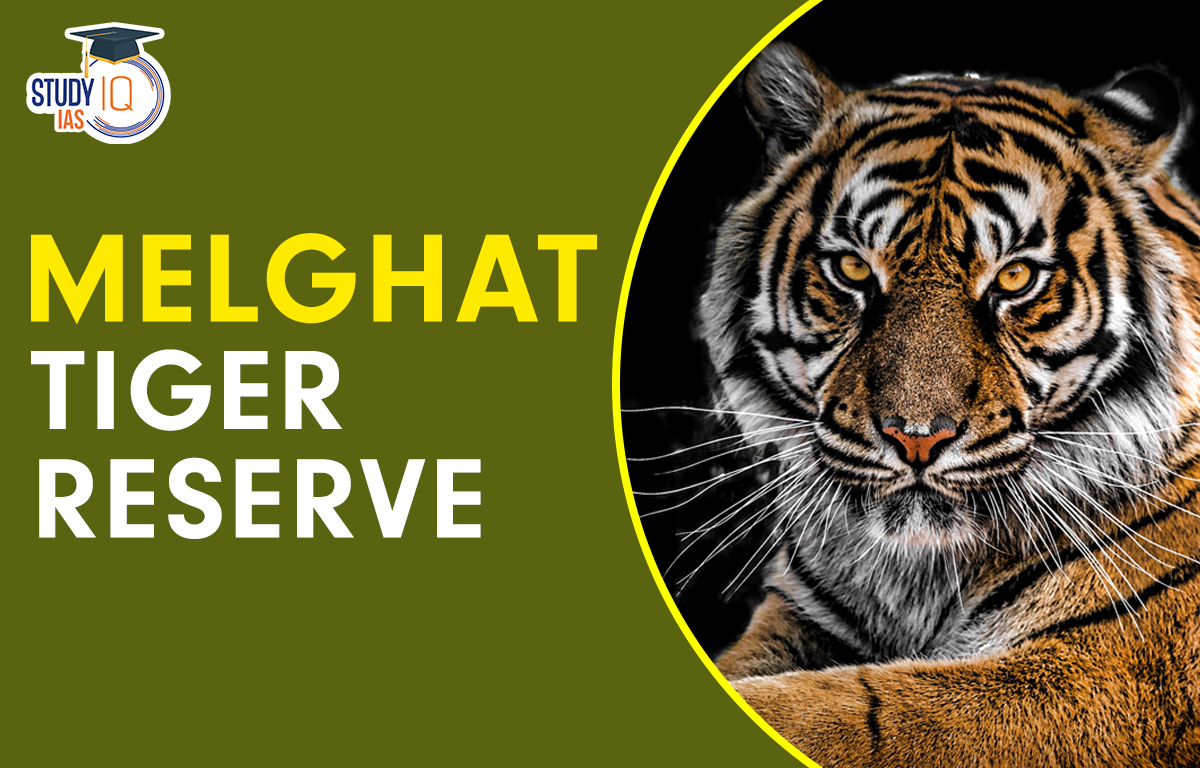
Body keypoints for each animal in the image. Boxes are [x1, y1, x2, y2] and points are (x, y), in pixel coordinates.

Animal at [691, 42, 1200, 766]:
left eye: (1015, 276)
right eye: (852, 269)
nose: (917, 437)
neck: (917, 574)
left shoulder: (1098, 673)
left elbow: (848, 713)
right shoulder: (799, 617)